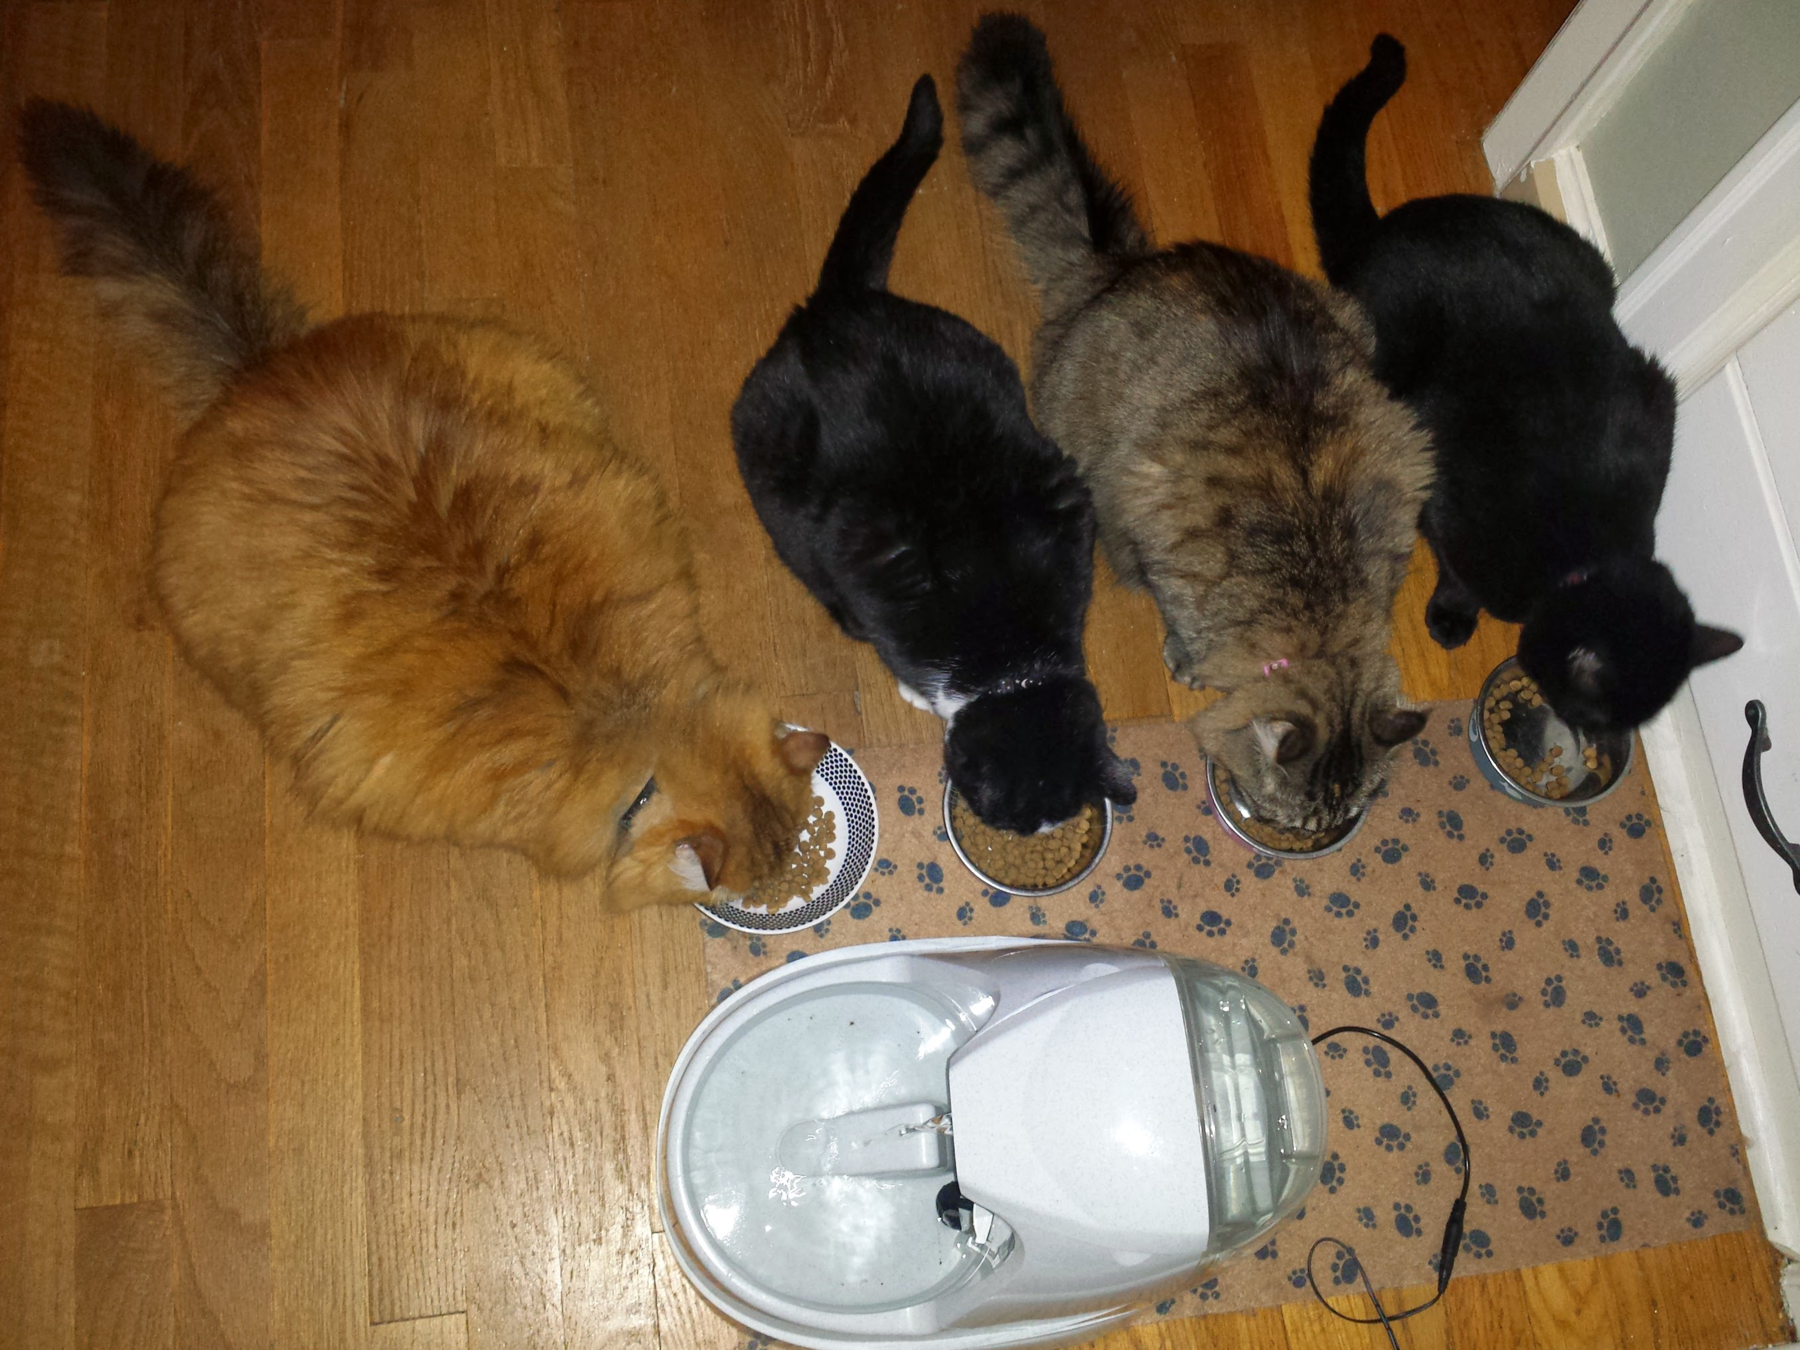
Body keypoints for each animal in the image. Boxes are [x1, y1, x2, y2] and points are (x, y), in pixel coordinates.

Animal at [733, 74, 1134, 834]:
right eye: (1009, 820)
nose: (1026, 833)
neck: (1012, 658)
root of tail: (838, 305)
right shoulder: (877, 582)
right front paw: (919, 693)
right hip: (772, 450)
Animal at [957, 15, 1430, 835]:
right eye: (1292, 819)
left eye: (1327, 823)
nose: (1309, 836)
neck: (1315, 614)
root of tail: (1122, 266)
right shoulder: (1164, 540)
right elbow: (1179, 615)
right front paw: (1185, 658)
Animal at [1309, 35, 1742, 732]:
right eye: (1593, 716)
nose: (1585, 732)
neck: (1587, 558)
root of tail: (1384, 232)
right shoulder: (1453, 508)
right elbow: (1458, 575)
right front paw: (1453, 615)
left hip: (1587, 261)